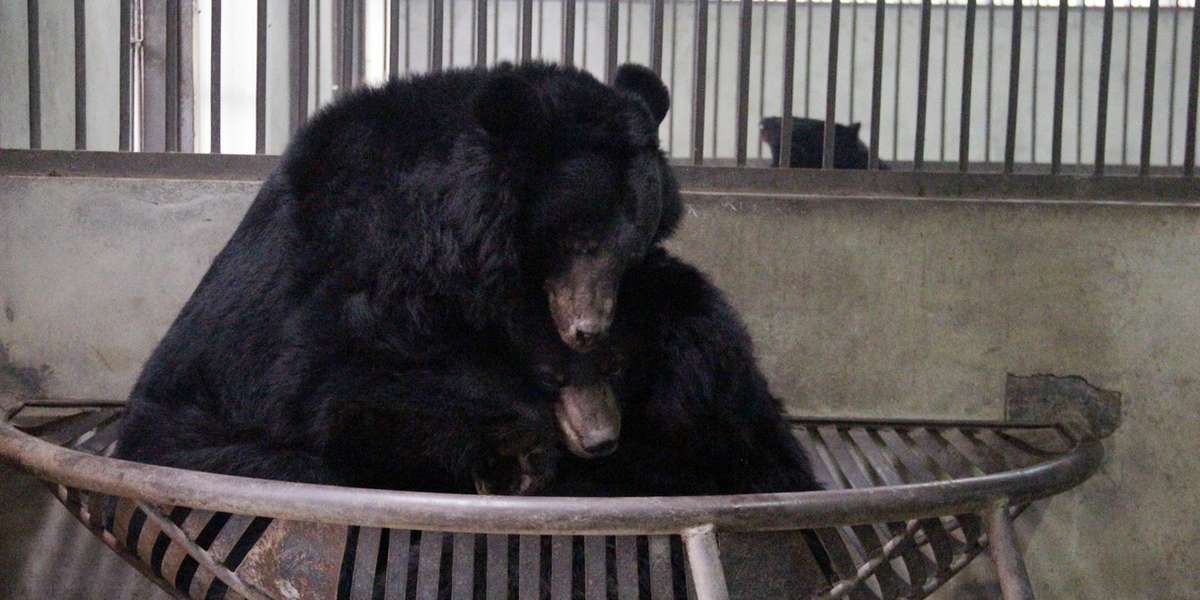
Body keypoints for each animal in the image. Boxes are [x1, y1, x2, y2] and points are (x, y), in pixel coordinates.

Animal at [115, 61, 682, 494]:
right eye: (578, 241)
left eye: (630, 253)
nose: (587, 330)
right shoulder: (362, 255)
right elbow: (330, 377)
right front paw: (514, 449)